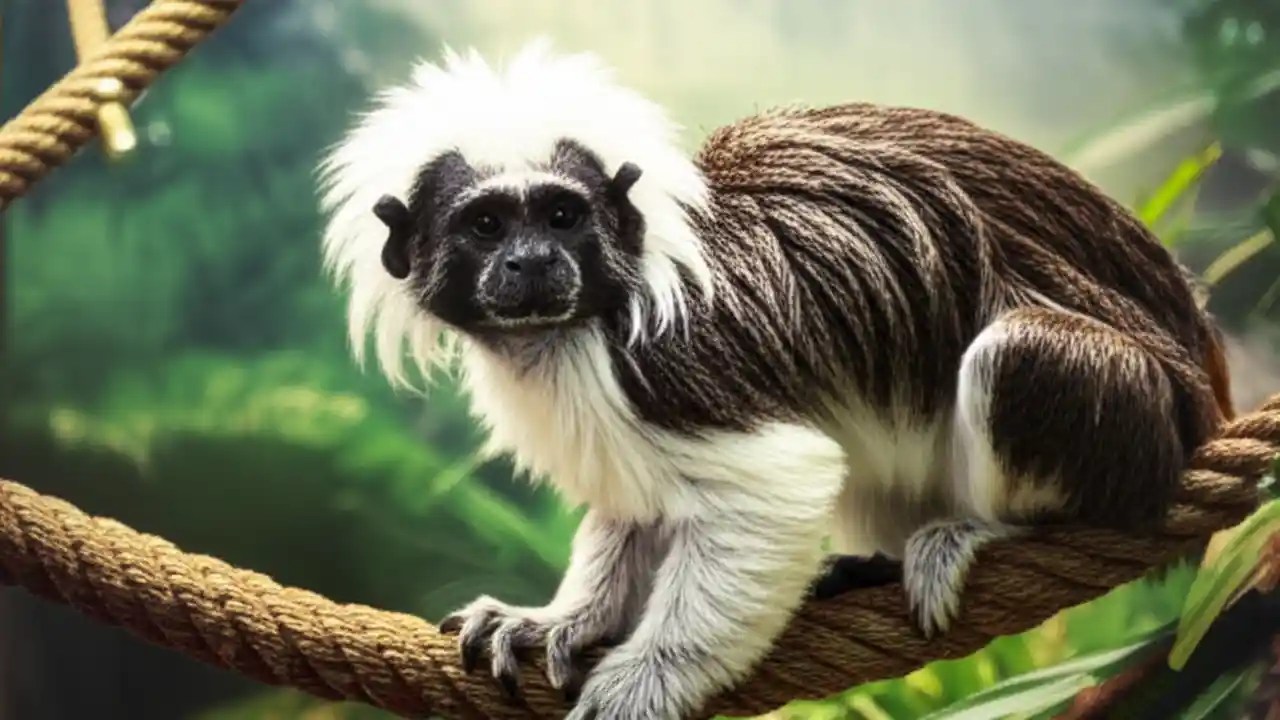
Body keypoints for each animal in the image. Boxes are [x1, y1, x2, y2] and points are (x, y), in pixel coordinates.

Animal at [317, 40, 1233, 720]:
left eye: (561, 216)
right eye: (483, 225)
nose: (533, 263)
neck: (567, 332)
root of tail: (1208, 388)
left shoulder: (667, 364)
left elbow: (775, 487)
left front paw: (639, 685)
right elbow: (637, 509)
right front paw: (559, 622)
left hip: (1136, 408)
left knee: (1022, 354)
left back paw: (983, 534)